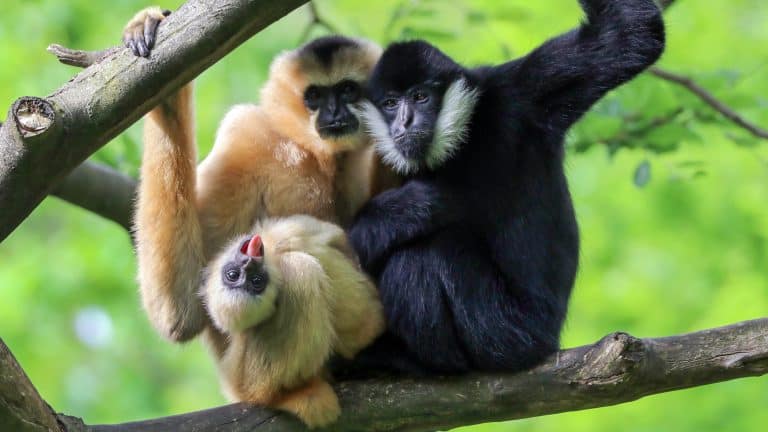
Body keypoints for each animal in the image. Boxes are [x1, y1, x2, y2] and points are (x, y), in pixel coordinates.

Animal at [122, 8, 389, 343]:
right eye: (314, 95)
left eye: (348, 89)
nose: (334, 113)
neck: (315, 152)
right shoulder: (247, 137)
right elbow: (181, 312)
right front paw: (166, 93)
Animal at [202, 215, 384, 427]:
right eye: (255, 280)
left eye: (235, 275)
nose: (248, 263)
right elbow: (363, 329)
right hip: (249, 381)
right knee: (302, 269)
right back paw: (289, 396)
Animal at [343, 0, 665, 375]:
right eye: (391, 104)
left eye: (420, 96)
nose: (405, 122)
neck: (462, 139)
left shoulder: (515, 94)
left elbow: (630, 34)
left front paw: (390, 215)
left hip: (506, 331)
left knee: (421, 255)